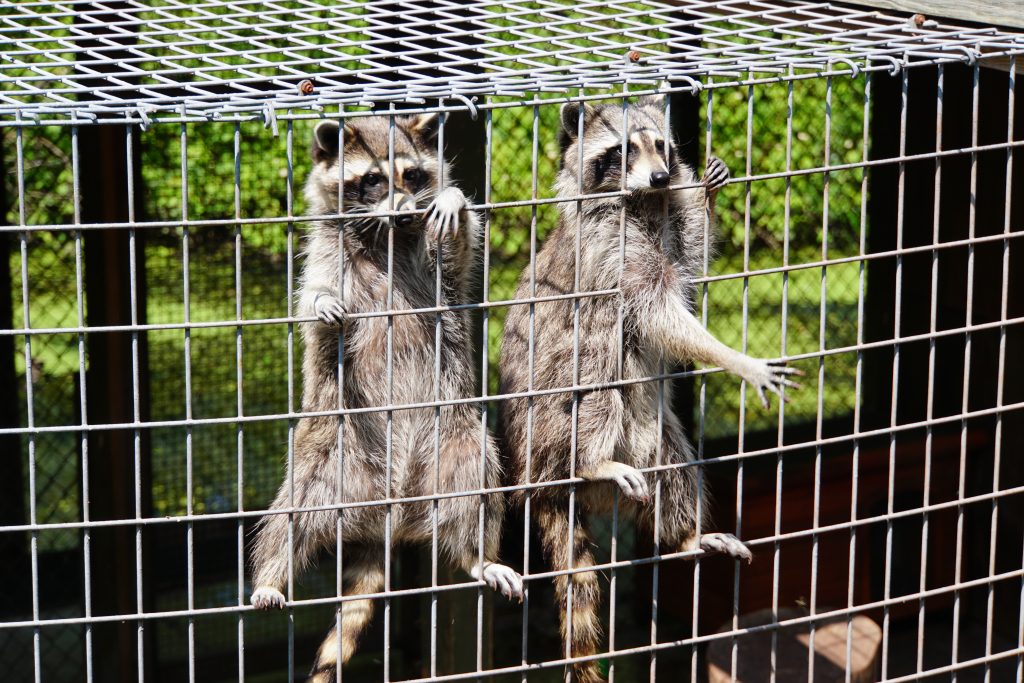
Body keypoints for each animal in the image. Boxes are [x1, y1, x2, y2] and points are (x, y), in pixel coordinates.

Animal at [250, 113, 523, 682]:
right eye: (372, 180)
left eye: (413, 175)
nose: (402, 208)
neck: (387, 236)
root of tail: (386, 518)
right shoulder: (325, 252)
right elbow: (311, 300)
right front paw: (322, 302)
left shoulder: (443, 267)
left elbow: (460, 253)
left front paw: (454, 201)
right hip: (326, 456)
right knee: (288, 518)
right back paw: (270, 575)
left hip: (453, 439)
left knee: (476, 480)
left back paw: (478, 556)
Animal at [499, 96, 800, 683]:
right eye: (621, 151)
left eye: (662, 145)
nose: (662, 175)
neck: (642, 205)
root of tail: (541, 487)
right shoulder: (610, 251)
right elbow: (660, 315)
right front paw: (734, 357)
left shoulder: (664, 233)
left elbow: (691, 260)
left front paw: (704, 197)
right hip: (548, 425)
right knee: (596, 373)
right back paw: (592, 461)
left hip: (655, 443)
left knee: (676, 464)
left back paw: (685, 537)